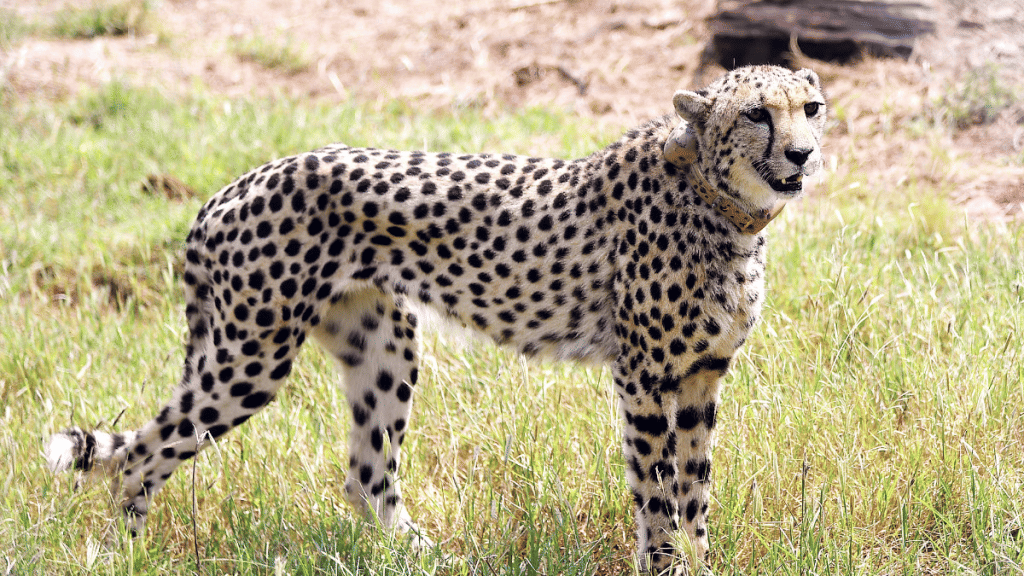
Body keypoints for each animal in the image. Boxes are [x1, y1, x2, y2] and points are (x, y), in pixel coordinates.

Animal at [45, 64, 827, 573]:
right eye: (757, 113)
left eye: (811, 108)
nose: (803, 153)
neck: (723, 203)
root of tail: (231, 187)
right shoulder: (643, 377)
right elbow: (657, 490)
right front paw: (666, 565)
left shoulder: (701, 377)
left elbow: (695, 490)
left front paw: (703, 560)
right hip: (250, 356)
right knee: (142, 455)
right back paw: (126, 555)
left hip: (382, 346)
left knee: (366, 473)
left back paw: (424, 556)